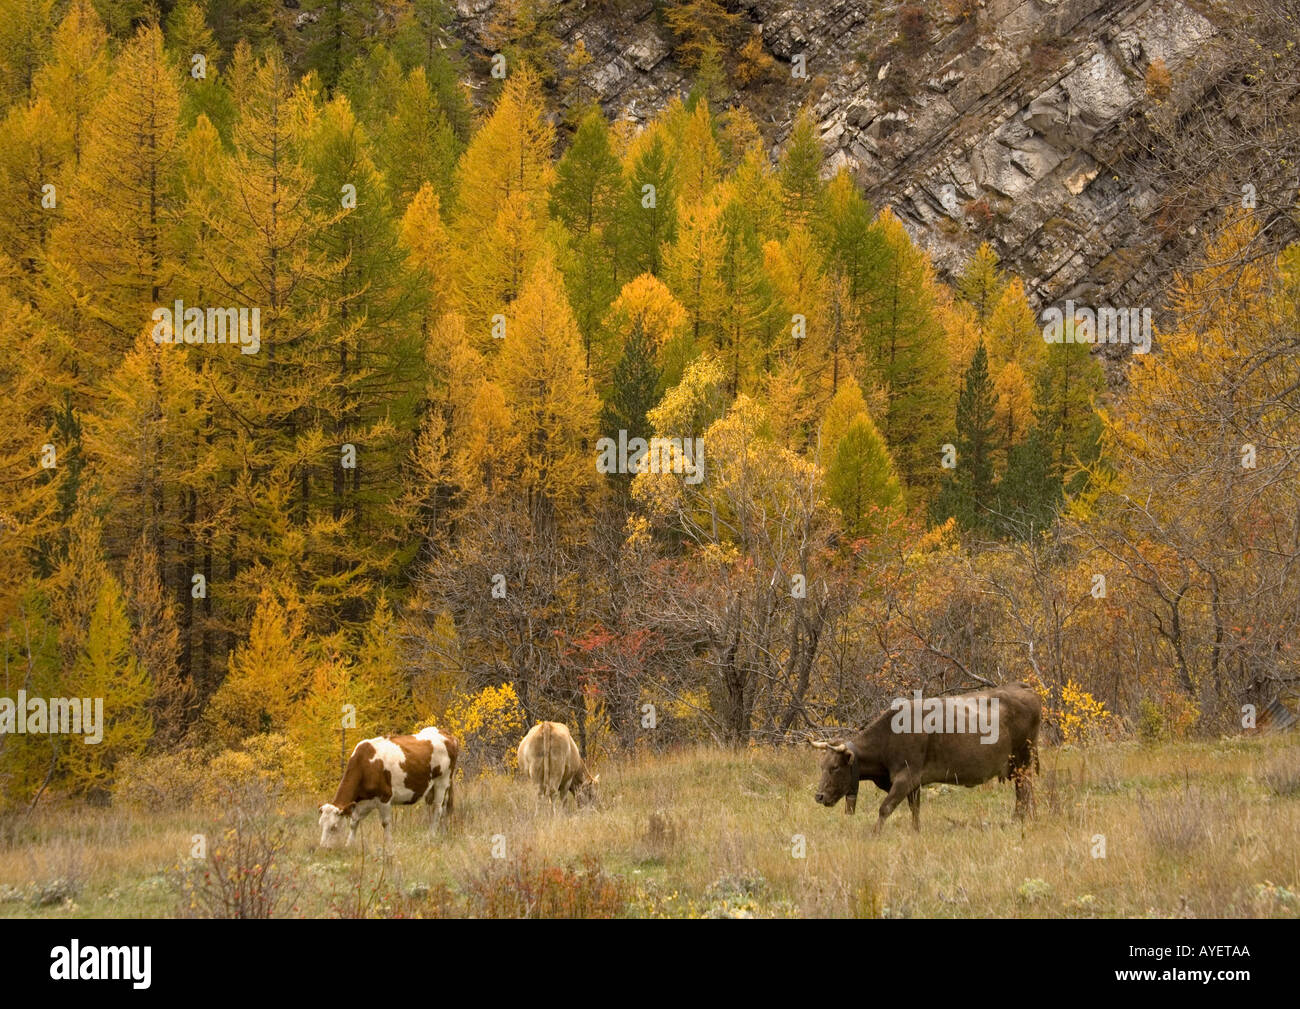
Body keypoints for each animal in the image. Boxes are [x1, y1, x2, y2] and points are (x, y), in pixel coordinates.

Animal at [318, 726, 459, 848]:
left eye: (334, 827)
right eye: (320, 824)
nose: (323, 847)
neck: (365, 764)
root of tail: (447, 734)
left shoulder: (385, 797)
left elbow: (385, 823)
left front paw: (388, 844)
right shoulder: (363, 801)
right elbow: (354, 823)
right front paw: (349, 844)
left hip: (442, 781)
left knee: (437, 809)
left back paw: (431, 836)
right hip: (434, 787)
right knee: (442, 808)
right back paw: (442, 833)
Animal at [812, 681, 1041, 832]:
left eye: (834, 767)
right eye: (821, 766)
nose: (819, 796)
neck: (889, 737)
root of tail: (1023, 688)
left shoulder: (906, 777)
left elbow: (885, 807)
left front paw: (875, 833)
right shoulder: (914, 783)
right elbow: (915, 809)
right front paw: (916, 831)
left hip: (1023, 760)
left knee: (1024, 792)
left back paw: (1018, 821)